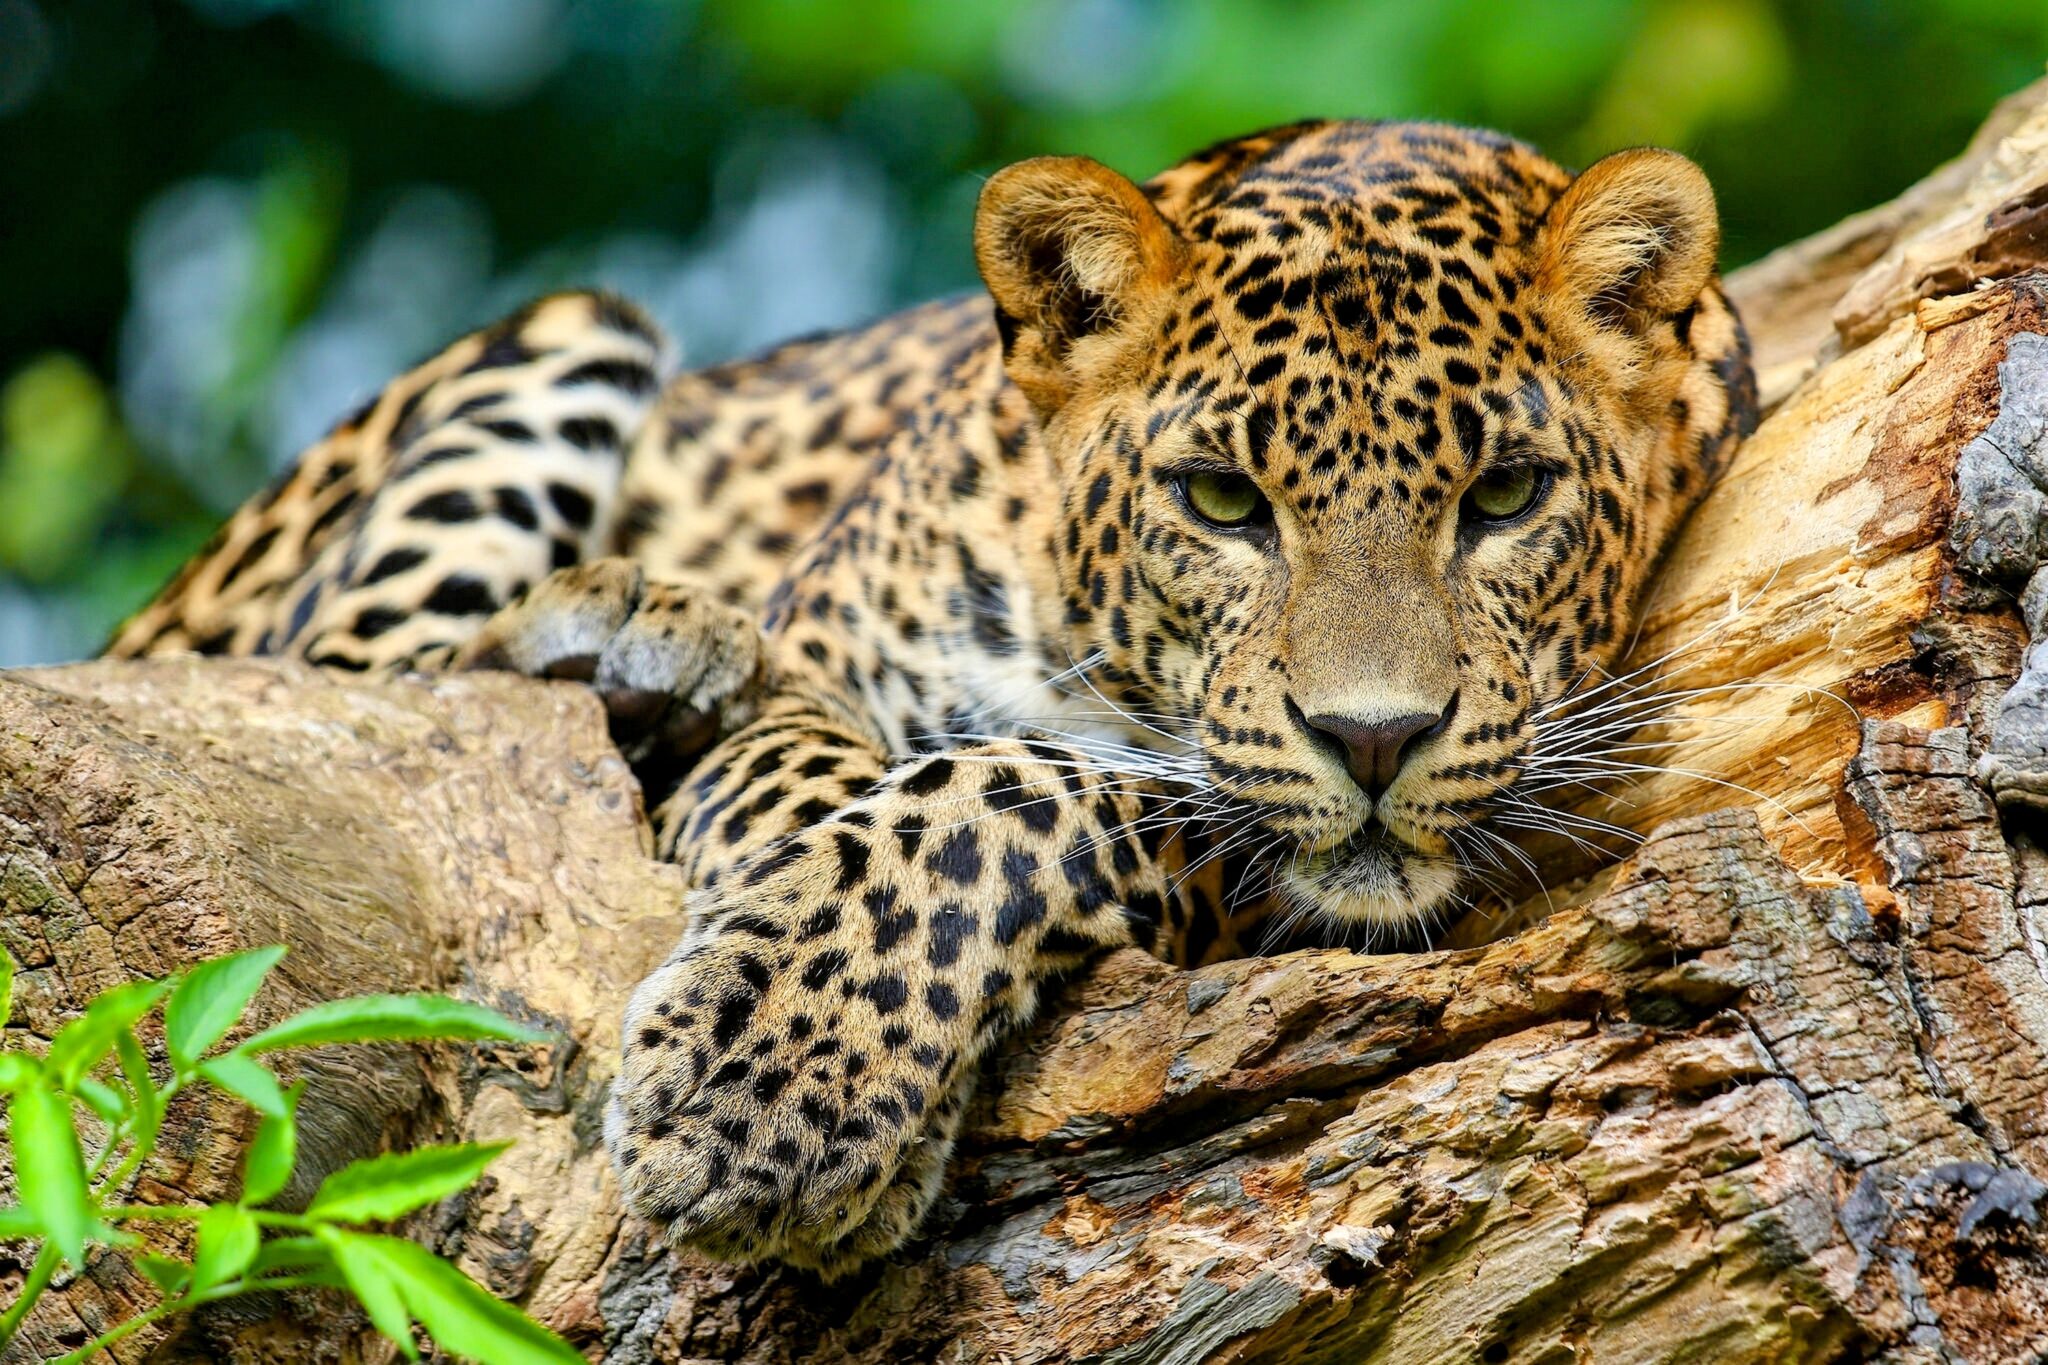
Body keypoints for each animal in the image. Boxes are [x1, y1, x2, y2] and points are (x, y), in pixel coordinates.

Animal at [106, 119, 1757, 1277]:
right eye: (1223, 500)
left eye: (1508, 496)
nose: (1373, 737)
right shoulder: (818, 660)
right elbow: (829, 788)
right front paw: (776, 1052)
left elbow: (1009, 789)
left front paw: (776, 1085)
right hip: (564, 339)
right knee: (339, 685)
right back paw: (625, 628)